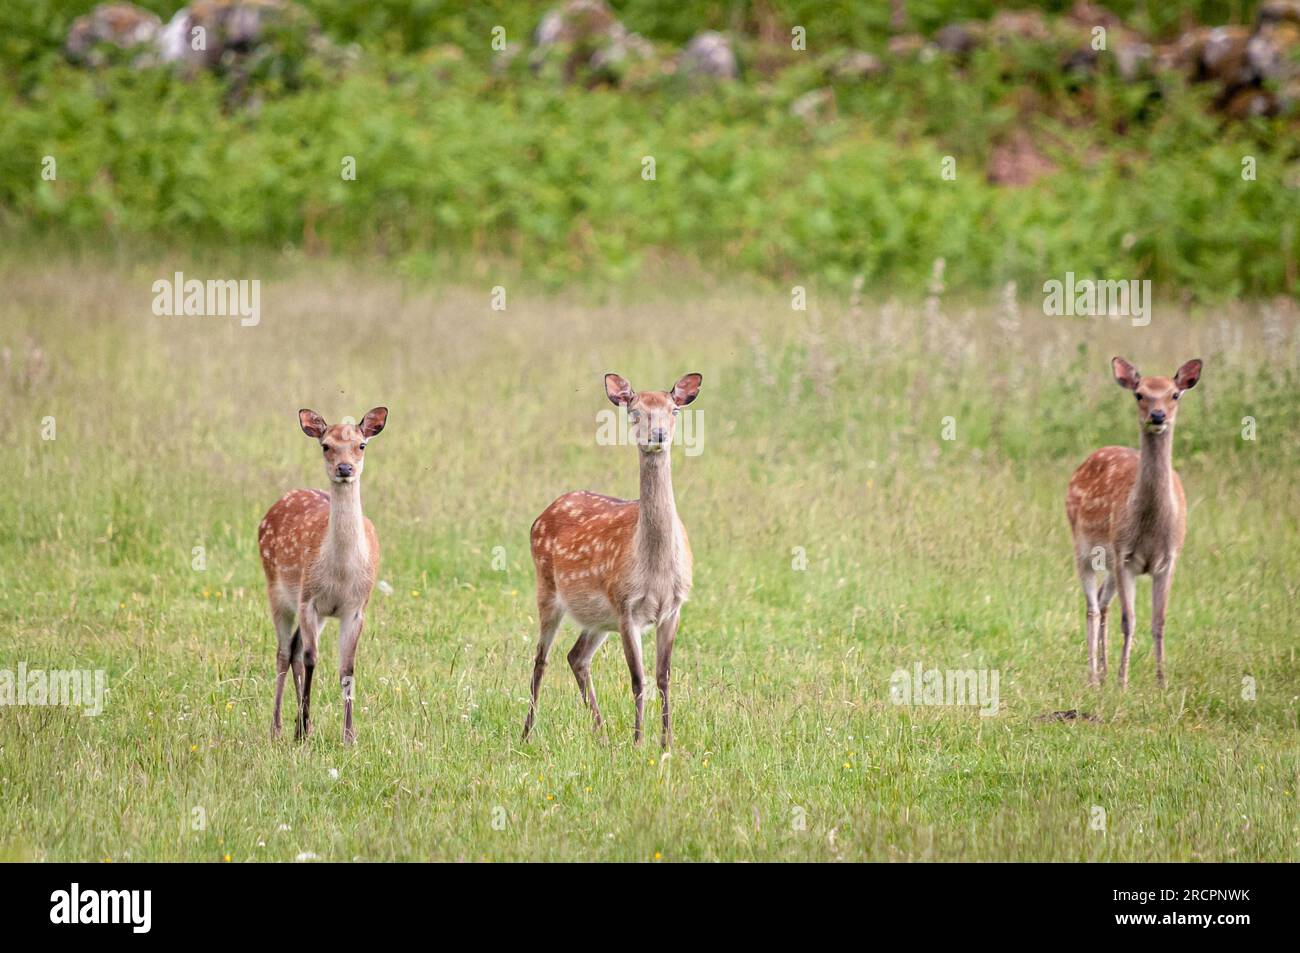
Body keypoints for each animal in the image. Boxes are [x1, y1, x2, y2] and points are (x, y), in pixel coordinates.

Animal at [258, 407, 388, 744]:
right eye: (326, 446)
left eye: (361, 445)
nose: (344, 468)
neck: (340, 573)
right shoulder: (309, 600)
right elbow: (311, 659)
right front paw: (301, 732)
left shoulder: (355, 608)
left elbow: (347, 669)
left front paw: (349, 737)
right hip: (277, 590)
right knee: (283, 652)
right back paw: (278, 727)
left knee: (292, 649)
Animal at [522, 372, 702, 748]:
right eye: (634, 412)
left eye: (674, 410)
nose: (657, 435)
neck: (656, 573)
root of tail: (542, 515)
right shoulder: (625, 605)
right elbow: (638, 679)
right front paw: (638, 742)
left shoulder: (674, 607)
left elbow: (663, 677)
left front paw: (667, 743)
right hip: (547, 590)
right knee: (541, 658)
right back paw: (527, 733)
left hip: (597, 618)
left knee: (575, 656)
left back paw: (602, 733)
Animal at [1066, 358, 1202, 688]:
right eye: (1139, 394)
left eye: (1175, 394)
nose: (1158, 415)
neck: (1151, 528)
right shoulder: (1124, 556)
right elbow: (1129, 621)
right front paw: (1123, 682)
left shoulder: (1169, 559)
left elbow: (1159, 620)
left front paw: (1162, 682)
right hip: (1084, 548)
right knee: (1092, 607)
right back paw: (1094, 676)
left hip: (1109, 562)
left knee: (1103, 601)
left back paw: (1102, 671)